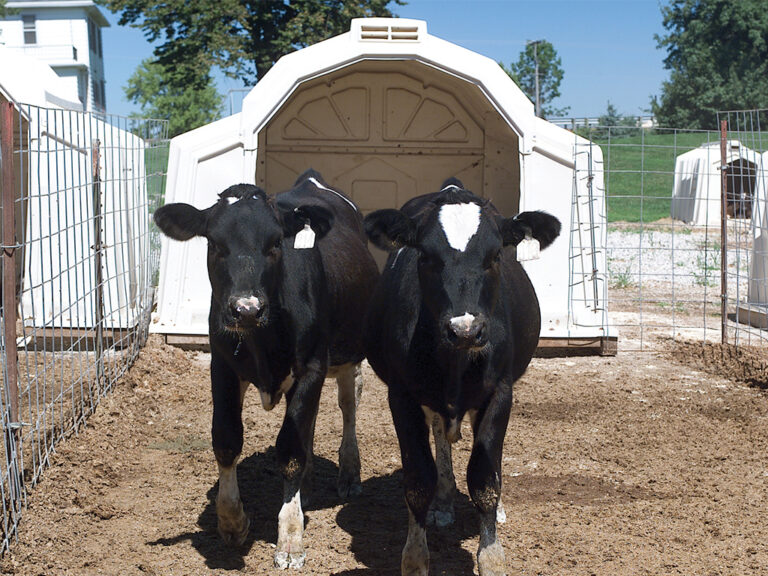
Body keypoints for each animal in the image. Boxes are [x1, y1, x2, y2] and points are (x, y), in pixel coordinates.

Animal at [153, 170, 379, 569]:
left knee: (348, 406)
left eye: (276, 243)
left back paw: (349, 472)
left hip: (348, 355)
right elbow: (227, 440)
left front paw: (290, 538)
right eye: (214, 243)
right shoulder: (223, 367)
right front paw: (232, 521)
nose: (246, 308)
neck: (264, 338)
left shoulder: (312, 368)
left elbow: (289, 451)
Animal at [363, 179, 561, 576]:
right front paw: (415, 558)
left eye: (496, 255)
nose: (465, 329)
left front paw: (492, 557)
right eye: (425, 256)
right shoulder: (402, 396)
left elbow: (484, 478)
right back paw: (443, 501)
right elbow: (418, 481)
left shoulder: (499, 393)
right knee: (441, 437)